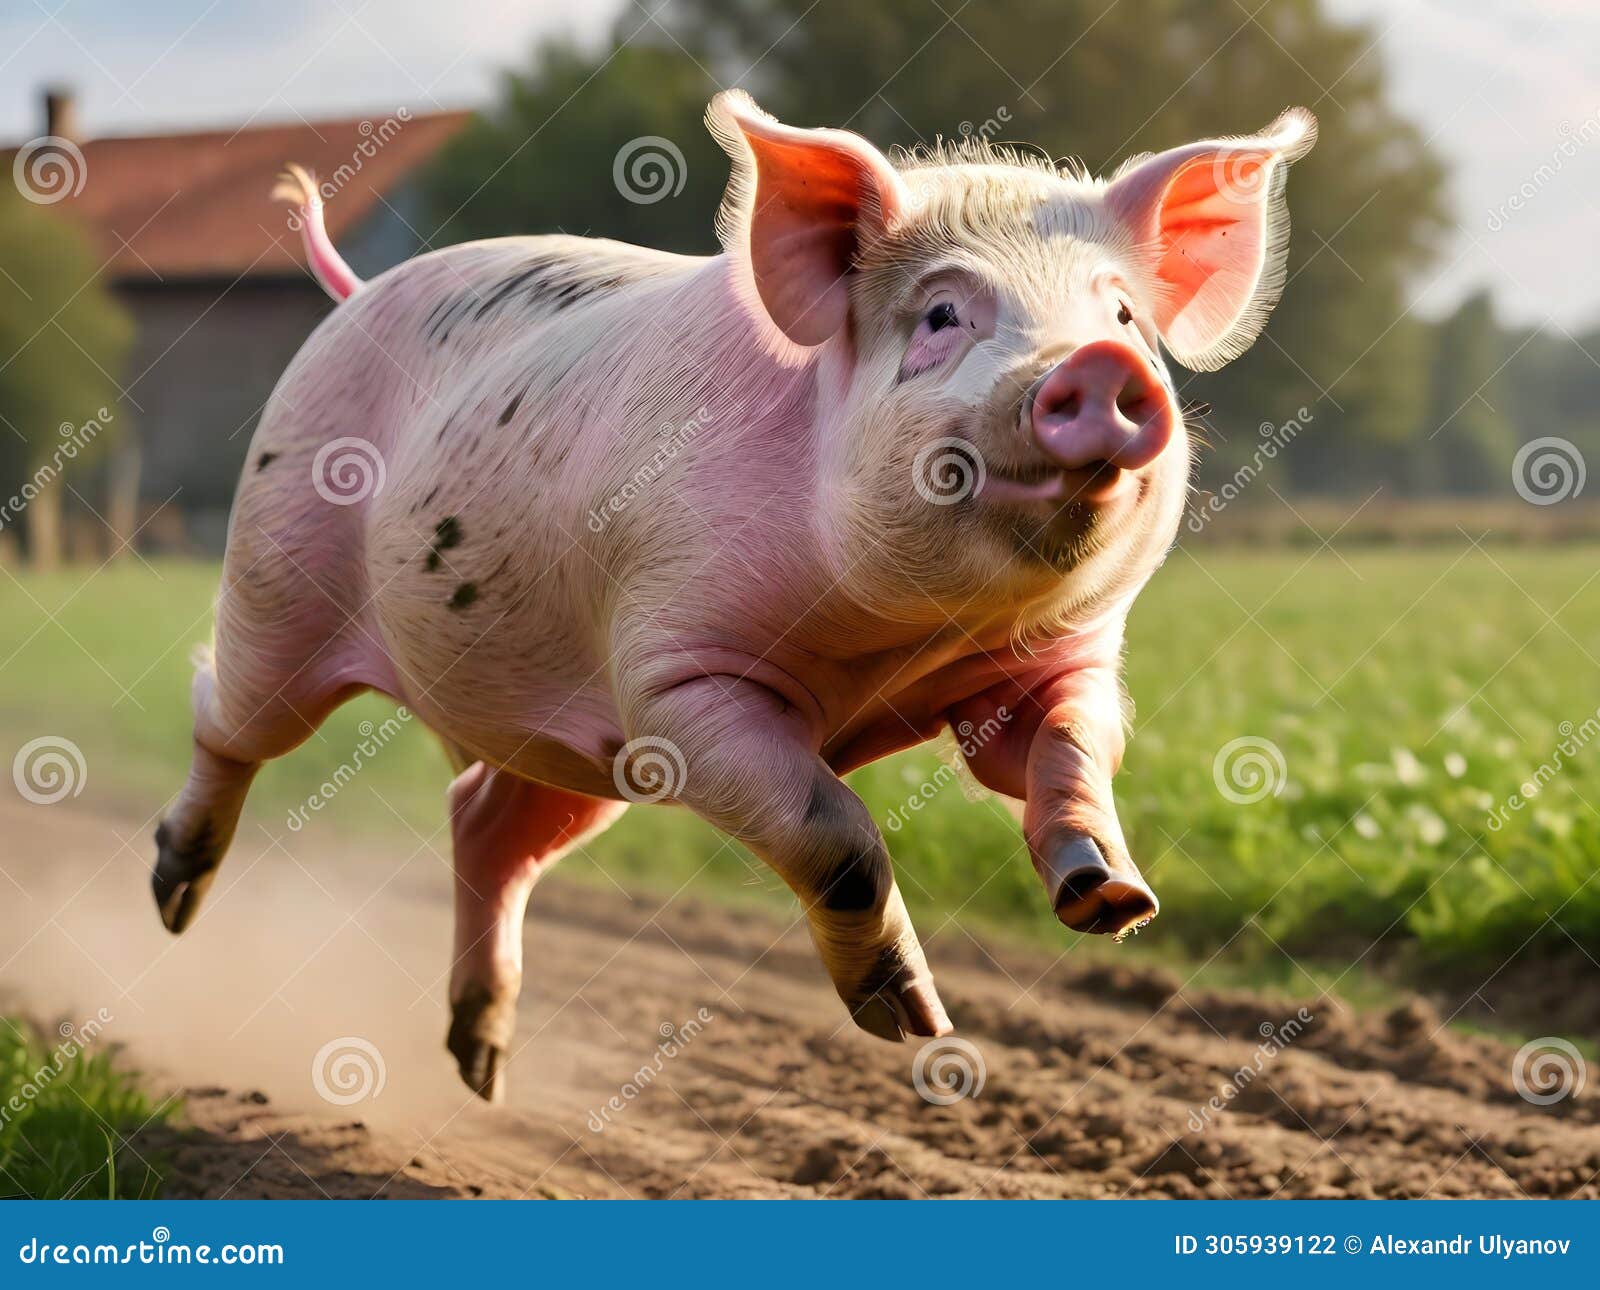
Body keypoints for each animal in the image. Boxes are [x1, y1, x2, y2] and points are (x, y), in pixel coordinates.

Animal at [152, 93, 1315, 1100]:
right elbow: (834, 836)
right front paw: (913, 1024)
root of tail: (353, 295)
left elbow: (1069, 755)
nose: (1104, 363)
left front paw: (1111, 900)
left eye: (1120, 308)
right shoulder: (677, 687)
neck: (894, 649)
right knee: (227, 716)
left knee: (482, 820)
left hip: (570, 739)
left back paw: (483, 1069)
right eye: (942, 313)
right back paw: (173, 895)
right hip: (278, 573)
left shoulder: (1063, 658)